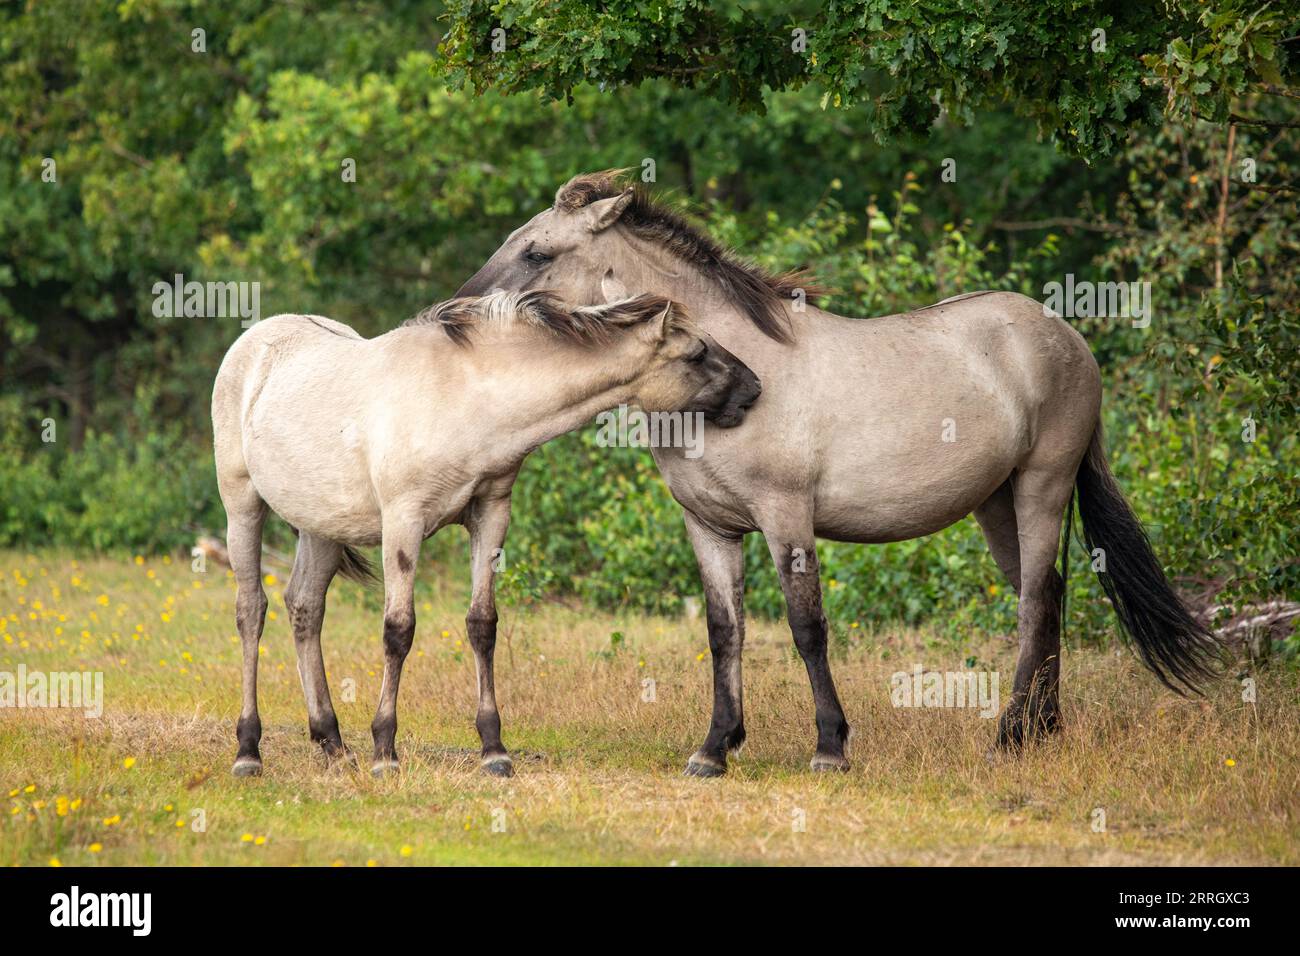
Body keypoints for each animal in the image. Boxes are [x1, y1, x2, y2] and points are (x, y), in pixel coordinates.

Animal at [211, 290, 761, 777]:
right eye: (697, 353)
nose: (755, 389)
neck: (465, 397)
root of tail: (255, 341)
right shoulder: (404, 521)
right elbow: (398, 630)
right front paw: (385, 752)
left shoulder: (491, 513)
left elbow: (482, 624)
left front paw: (494, 751)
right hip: (242, 506)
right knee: (250, 612)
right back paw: (248, 752)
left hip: (321, 526)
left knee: (304, 609)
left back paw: (332, 744)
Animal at [454, 170, 1224, 776]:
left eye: (537, 250)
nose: (458, 311)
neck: (740, 377)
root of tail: (1066, 335)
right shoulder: (709, 526)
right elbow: (725, 631)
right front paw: (715, 748)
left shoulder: (786, 517)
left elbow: (807, 627)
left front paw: (830, 746)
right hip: (996, 502)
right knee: (1052, 594)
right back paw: (1044, 730)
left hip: (1042, 486)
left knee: (1035, 602)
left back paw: (1009, 737)